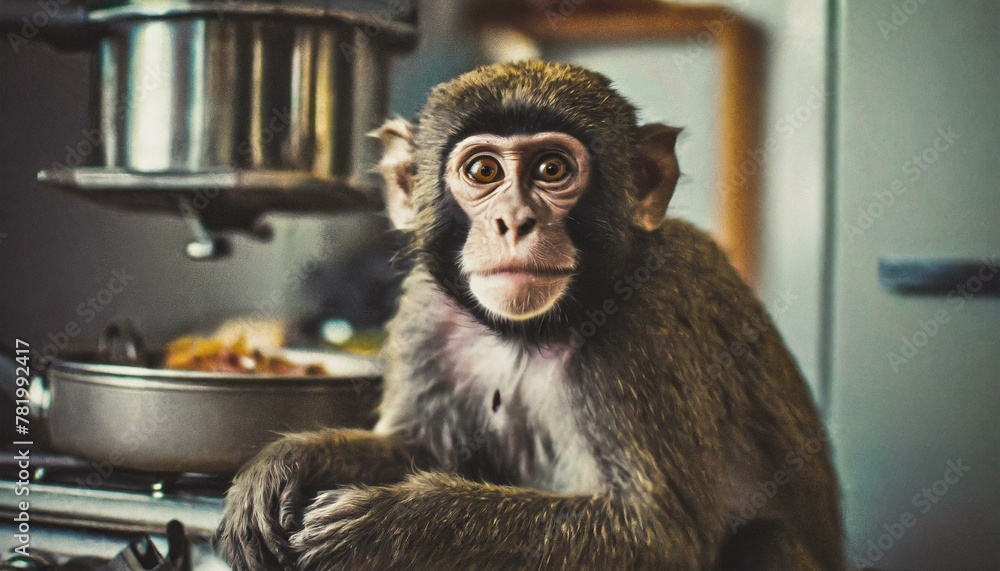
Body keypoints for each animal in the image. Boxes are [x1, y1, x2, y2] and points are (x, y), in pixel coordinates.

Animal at [214, 60, 843, 570]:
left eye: (551, 169)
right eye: (484, 172)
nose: (515, 221)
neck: (532, 333)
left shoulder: (646, 328)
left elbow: (660, 538)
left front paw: (385, 526)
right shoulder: (423, 312)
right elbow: (423, 449)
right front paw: (292, 461)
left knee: (762, 540)